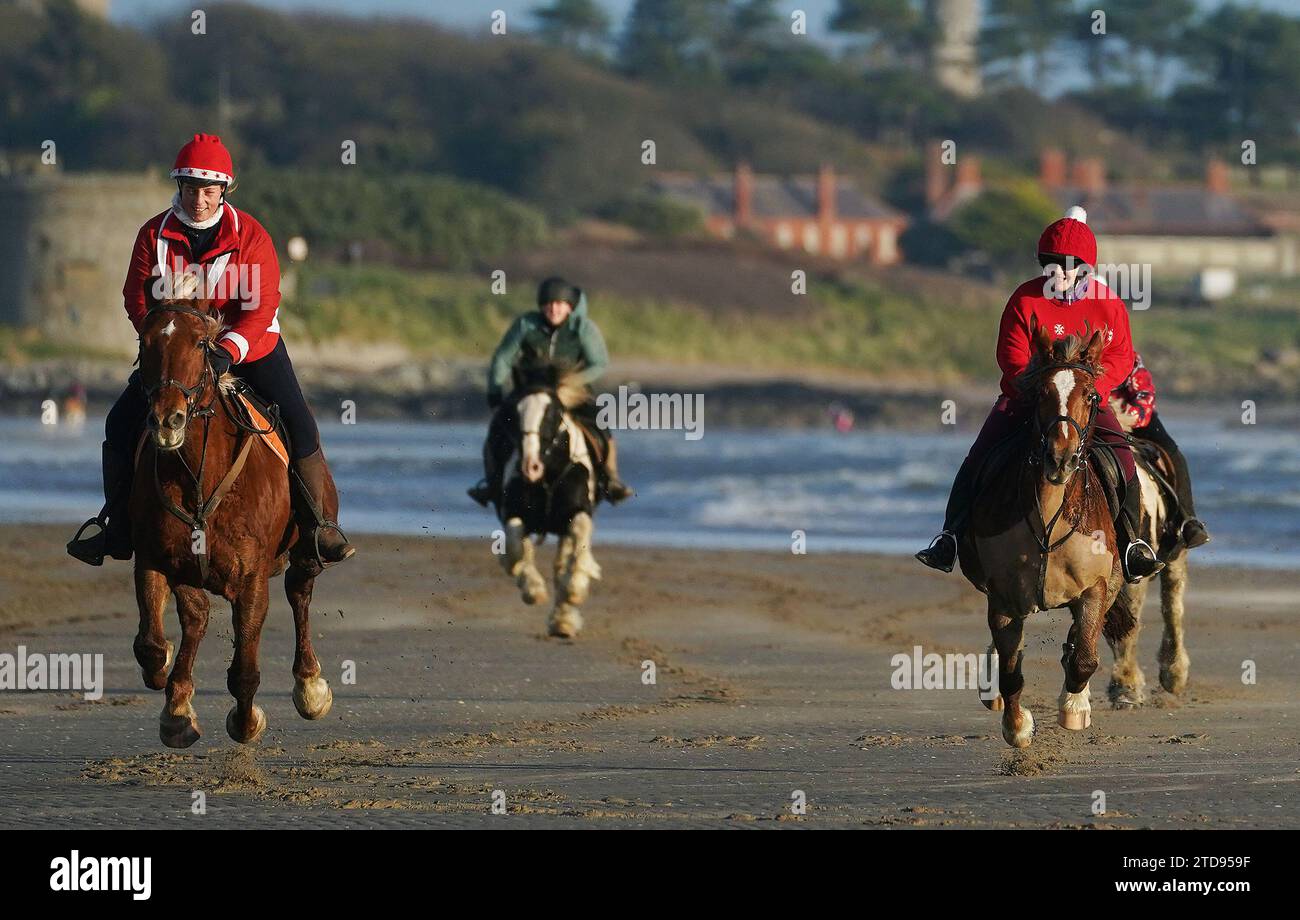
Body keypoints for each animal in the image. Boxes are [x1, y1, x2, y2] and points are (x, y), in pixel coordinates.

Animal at [130, 297, 334, 747]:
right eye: (144, 341)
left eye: (200, 342)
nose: (166, 420)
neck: (199, 476)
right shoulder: (156, 559)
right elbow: (152, 642)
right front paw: (174, 706)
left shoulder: (252, 578)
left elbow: (244, 670)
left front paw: (246, 722)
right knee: (197, 617)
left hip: (307, 547)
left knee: (300, 591)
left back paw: (310, 686)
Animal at [491, 363, 602, 638]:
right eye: (514, 413)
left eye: (553, 413)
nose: (530, 466)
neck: (549, 475)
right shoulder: (513, 511)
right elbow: (516, 545)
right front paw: (531, 588)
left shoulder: (577, 512)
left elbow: (579, 541)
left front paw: (576, 589)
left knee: (561, 563)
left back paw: (563, 620)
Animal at [957, 320, 1149, 748]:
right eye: (1040, 394)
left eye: (1091, 395)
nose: (1060, 458)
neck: (1049, 517)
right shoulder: (1003, 598)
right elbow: (1011, 669)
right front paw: (1017, 726)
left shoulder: (1095, 586)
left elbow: (1085, 658)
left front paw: (1074, 708)